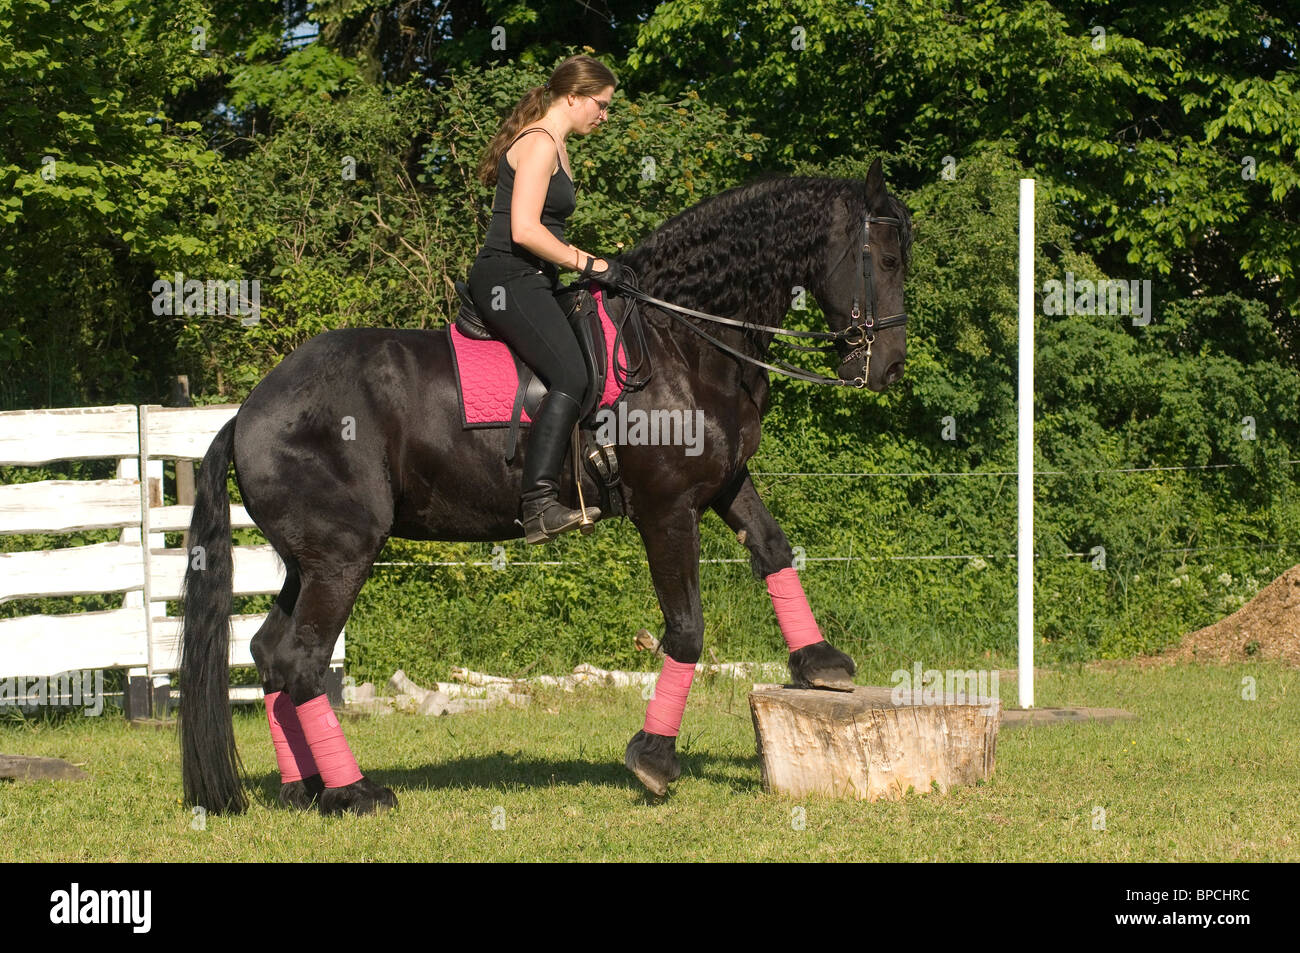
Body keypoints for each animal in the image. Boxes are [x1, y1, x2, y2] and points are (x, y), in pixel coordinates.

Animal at [179, 157, 912, 815]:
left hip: (309, 559)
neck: (683, 337)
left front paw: (819, 660)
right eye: (883, 258)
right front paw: (654, 757)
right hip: (343, 554)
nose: (888, 369)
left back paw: (302, 788)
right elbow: (686, 628)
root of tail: (248, 412)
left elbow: (773, 549)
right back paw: (353, 792)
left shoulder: (726, 482)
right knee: (302, 660)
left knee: (270, 655)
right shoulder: (666, 508)